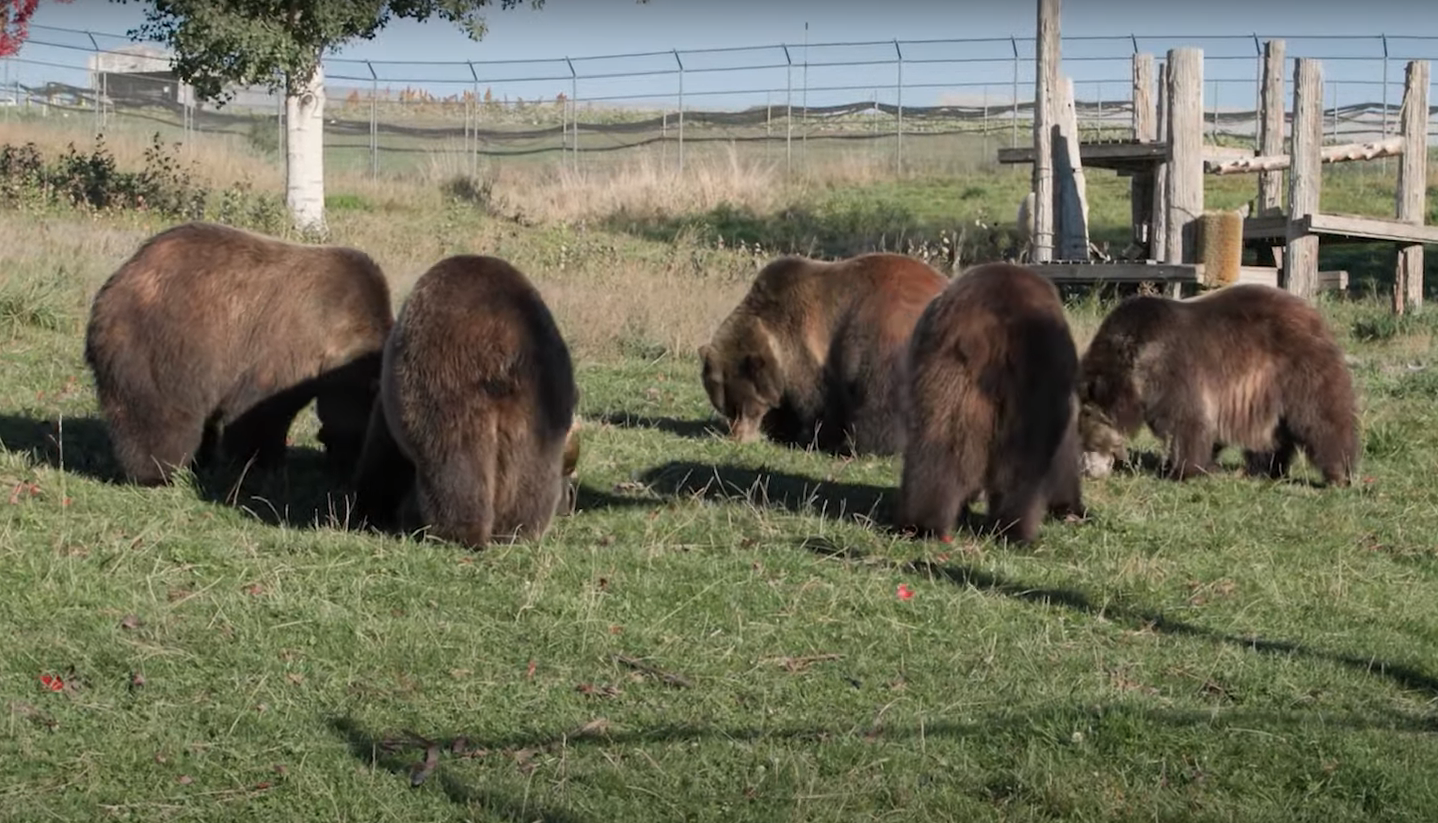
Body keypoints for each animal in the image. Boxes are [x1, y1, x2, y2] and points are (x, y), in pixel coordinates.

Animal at [83, 221, 394, 486]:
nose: (345, 468)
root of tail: (118, 279)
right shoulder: (284, 346)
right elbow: (259, 413)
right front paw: (260, 464)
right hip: (161, 346)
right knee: (160, 415)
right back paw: (157, 473)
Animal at [350, 254, 580, 550]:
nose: (570, 503)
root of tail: (504, 338)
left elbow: (381, 457)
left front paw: (370, 506)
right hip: (541, 393)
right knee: (530, 463)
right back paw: (516, 530)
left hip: (445, 377)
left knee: (453, 458)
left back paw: (455, 532)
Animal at [698, 252, 947, 456]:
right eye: (725, 407)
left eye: (742, 406)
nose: (736, 436)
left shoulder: (806, 349)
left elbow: (818, 403)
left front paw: (811, 436)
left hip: (887, 341)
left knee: (881, 401)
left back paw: (861, 445)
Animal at [894, 261, 1085, 545]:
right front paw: (1070, 507)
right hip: (1031, 377)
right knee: (1023, 465)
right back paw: (1015, 530)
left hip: (947, 373)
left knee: (939, 448)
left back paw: (922, 524)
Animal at [1076, 282, 1359, 485]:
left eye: (1088, 442)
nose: (1089, 472)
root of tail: (1315, 316)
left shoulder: (1170, 368)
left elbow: (1186, 421)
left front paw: (1181, 470)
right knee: (1273, 432)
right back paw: (1263, 468)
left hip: (1298, 368)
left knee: (1321, 418)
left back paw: (1338, 473)